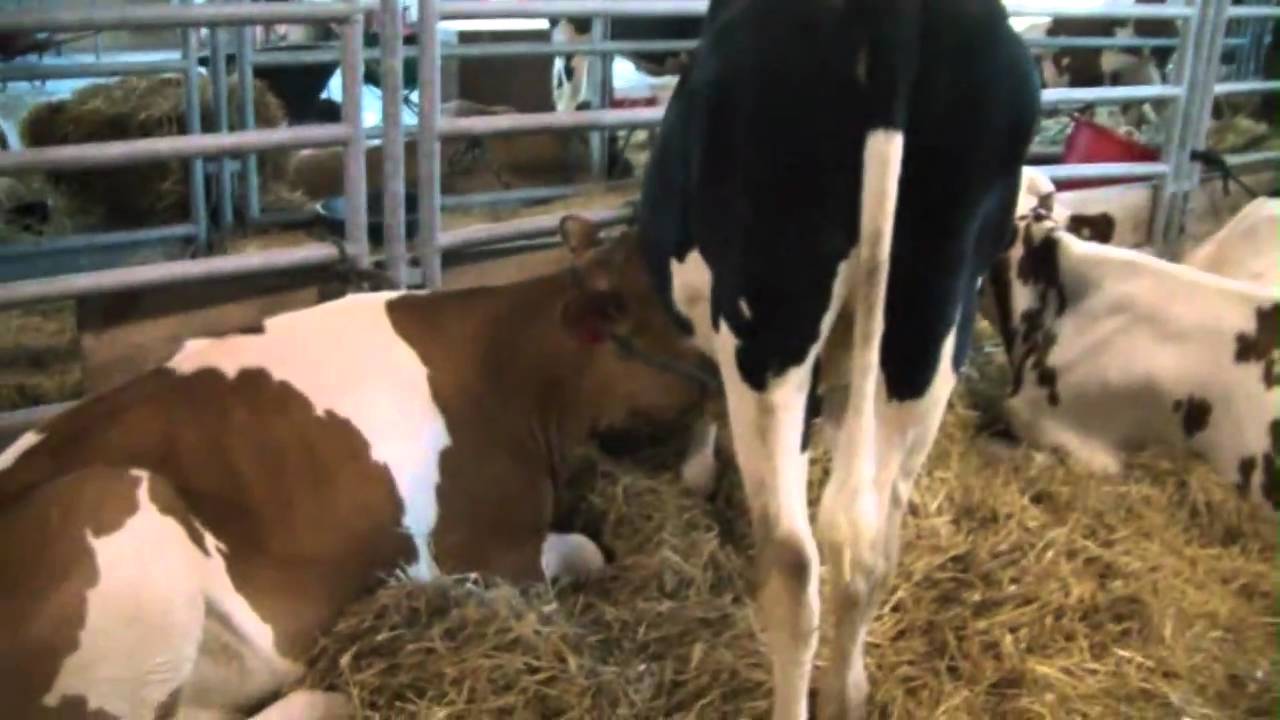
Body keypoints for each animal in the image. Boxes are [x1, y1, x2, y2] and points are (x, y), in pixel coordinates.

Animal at [0, 215, 712, 719]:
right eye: (689, 306)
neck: (521, 372)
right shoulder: (486, 553)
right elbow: (583, 554)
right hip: (113, 503)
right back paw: (328, 697)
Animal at [617, 1, 1043, 717]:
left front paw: (698, 468)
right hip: (931, 325)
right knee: (869, 542)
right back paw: (849, 690)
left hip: (768, 328)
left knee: (795, 560)